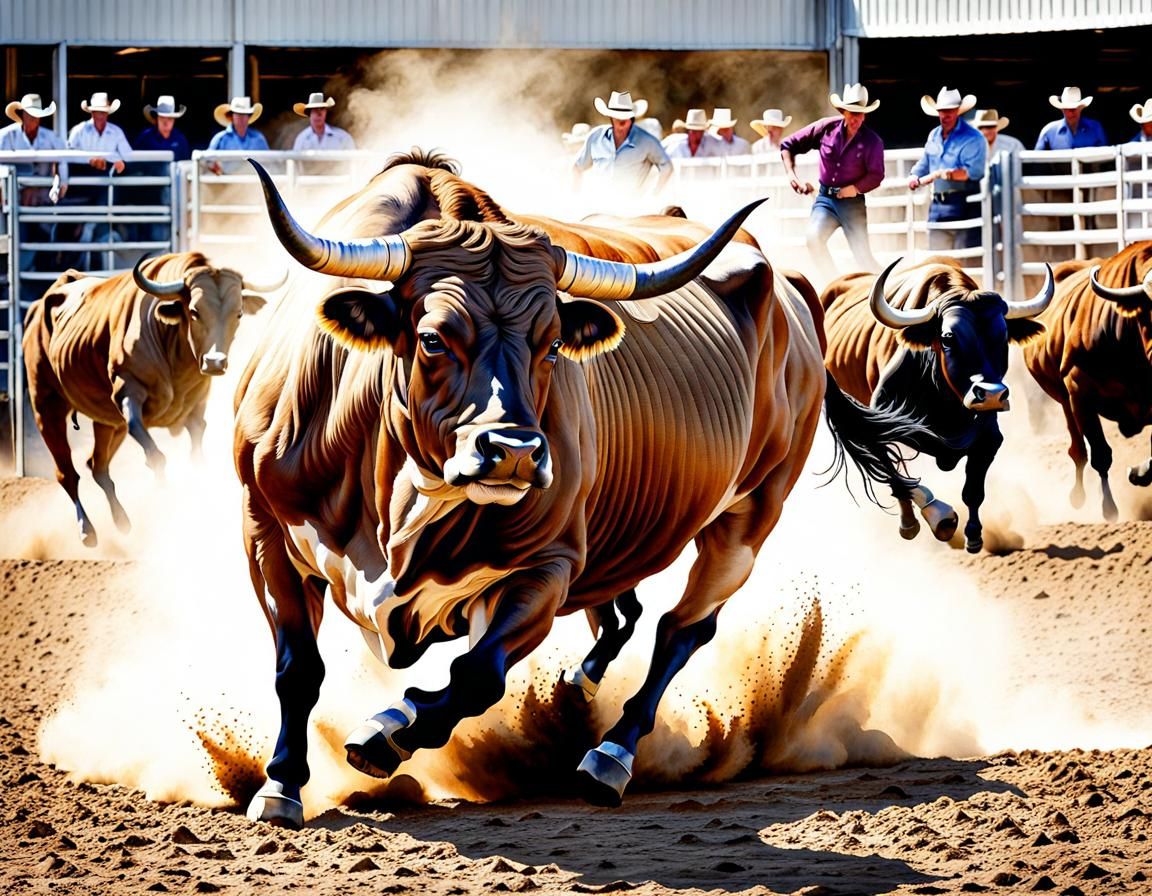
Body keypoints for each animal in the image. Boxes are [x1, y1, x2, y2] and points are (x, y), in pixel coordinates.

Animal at [22, 252, 273, 546]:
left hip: (106, 422)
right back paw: (87, 529)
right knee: (67, 473)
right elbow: (155, 455)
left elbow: (197, 455)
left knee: (97, 466)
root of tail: (38, 307)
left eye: (238, 313)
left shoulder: (196, 412)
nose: (215, 362)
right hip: (46, 406)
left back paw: (121, 521)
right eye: (194, 311)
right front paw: (163, 494)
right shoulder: (128, 394)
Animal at [234, 151, 929, 829]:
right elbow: (298, 669)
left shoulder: (549, 565)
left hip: (751, 515)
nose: (514, 452)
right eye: (432, 337)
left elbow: (479, 674)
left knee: (681, 628)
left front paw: (388, 731)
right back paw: (578, 685)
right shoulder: (264, 531)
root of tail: (788, 285)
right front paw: (281, 784)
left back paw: (610, 755)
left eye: (551, 345)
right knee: (625, 614)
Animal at [822, 256, 1053, 552]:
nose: (991, 395)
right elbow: (896, 475)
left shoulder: (989, 438)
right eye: (947, 338)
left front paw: (974, 535)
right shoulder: (870, 425)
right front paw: (937, 518)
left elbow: (973, 490)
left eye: (1003, 337)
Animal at [1024, 242, 1152, 520]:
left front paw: (1141, 472)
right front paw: (1109, 508)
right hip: (1065, 400)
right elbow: (1101, 454)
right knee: (1078, 450)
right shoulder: (1079, 390)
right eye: (1149, 311)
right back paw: (1078, 496)